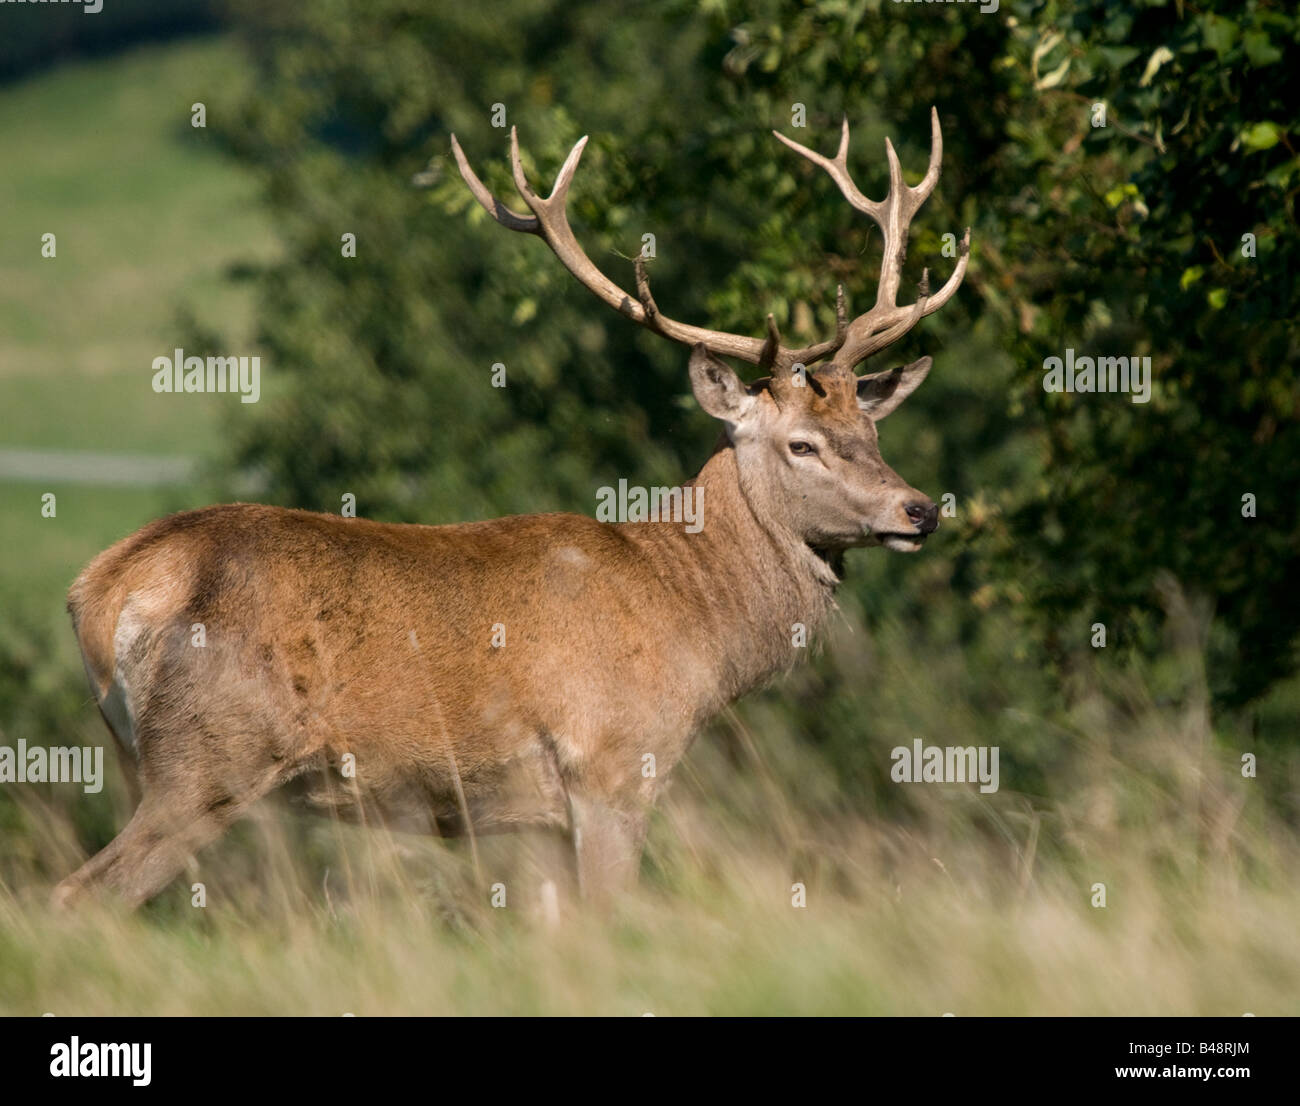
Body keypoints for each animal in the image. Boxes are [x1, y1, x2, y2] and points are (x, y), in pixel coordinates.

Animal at [55, 108, 969, 911]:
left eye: (870, 429)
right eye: (802, 445)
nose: (920, 509)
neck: (690, 617)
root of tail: (103, 588)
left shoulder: (535, 822)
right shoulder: (612, 765)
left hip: (141, 761)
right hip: (209, 761)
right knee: (75, 894)